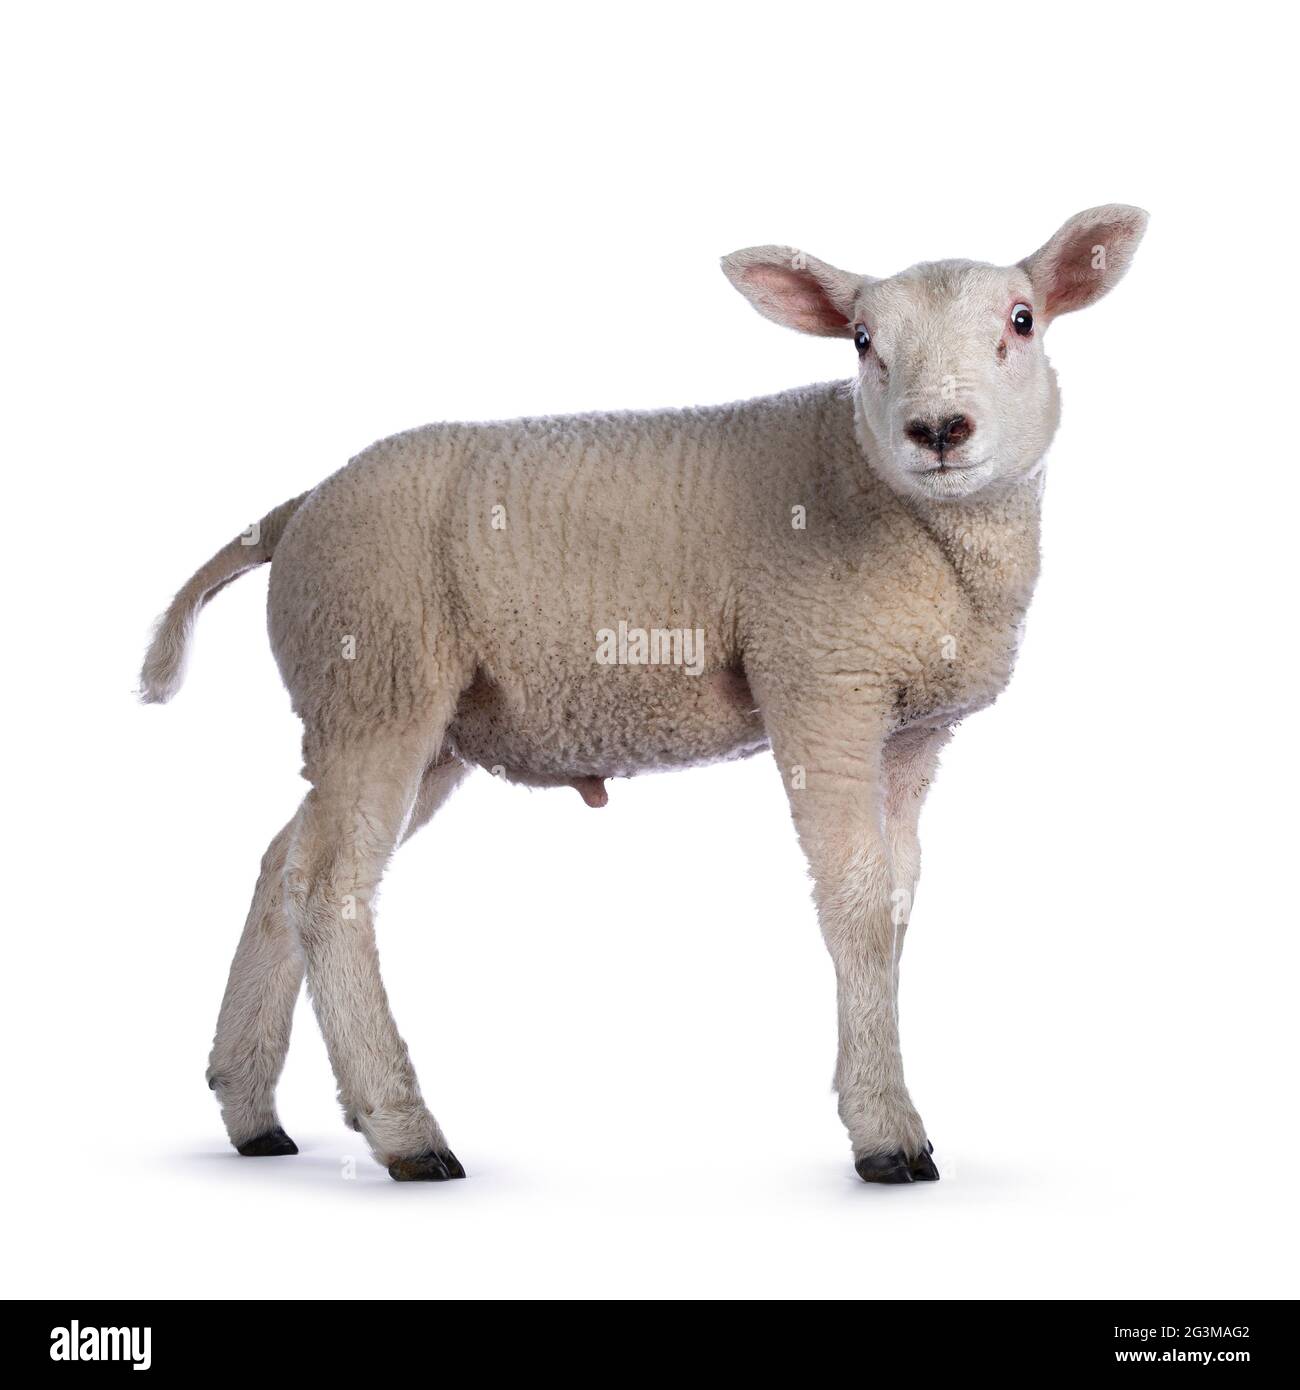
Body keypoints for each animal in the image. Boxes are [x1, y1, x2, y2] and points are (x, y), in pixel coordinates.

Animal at [142, 205, 1147, 1183]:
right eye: (862, 341)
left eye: (1022, 321)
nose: (938, 431)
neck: (895, 506)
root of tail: (296, 509)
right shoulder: (820, 683)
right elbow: (856, 904)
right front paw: (886, 1134)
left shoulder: (910, 730)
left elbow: (898, 903)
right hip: (376, 675)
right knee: (330, 887)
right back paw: (404, 1131)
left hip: (410, 719)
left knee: (282, 865)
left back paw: (249, 1107)